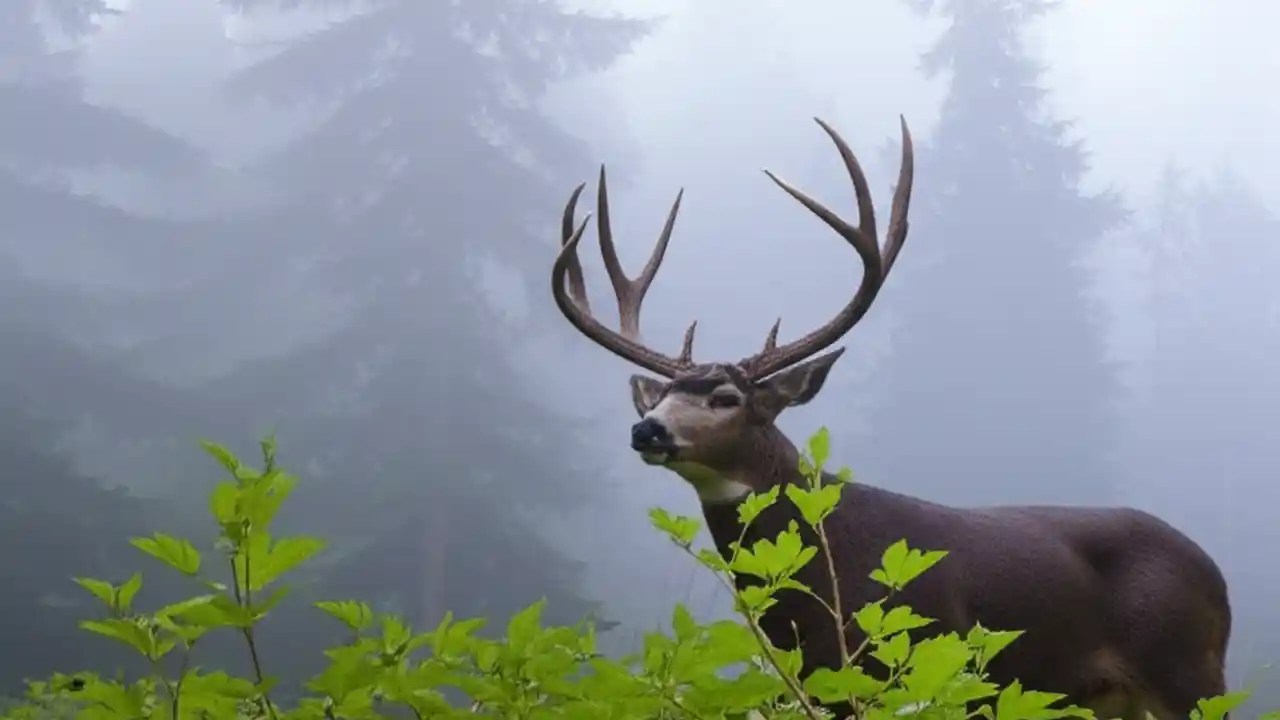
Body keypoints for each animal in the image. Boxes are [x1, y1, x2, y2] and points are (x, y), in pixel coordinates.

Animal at [548, 115, 1232, 720]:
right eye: (659, 395)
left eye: (725, 398)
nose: (647, 429)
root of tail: (1219, 578)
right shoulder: (821, 682)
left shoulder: (921, 660)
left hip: (1188, 675)